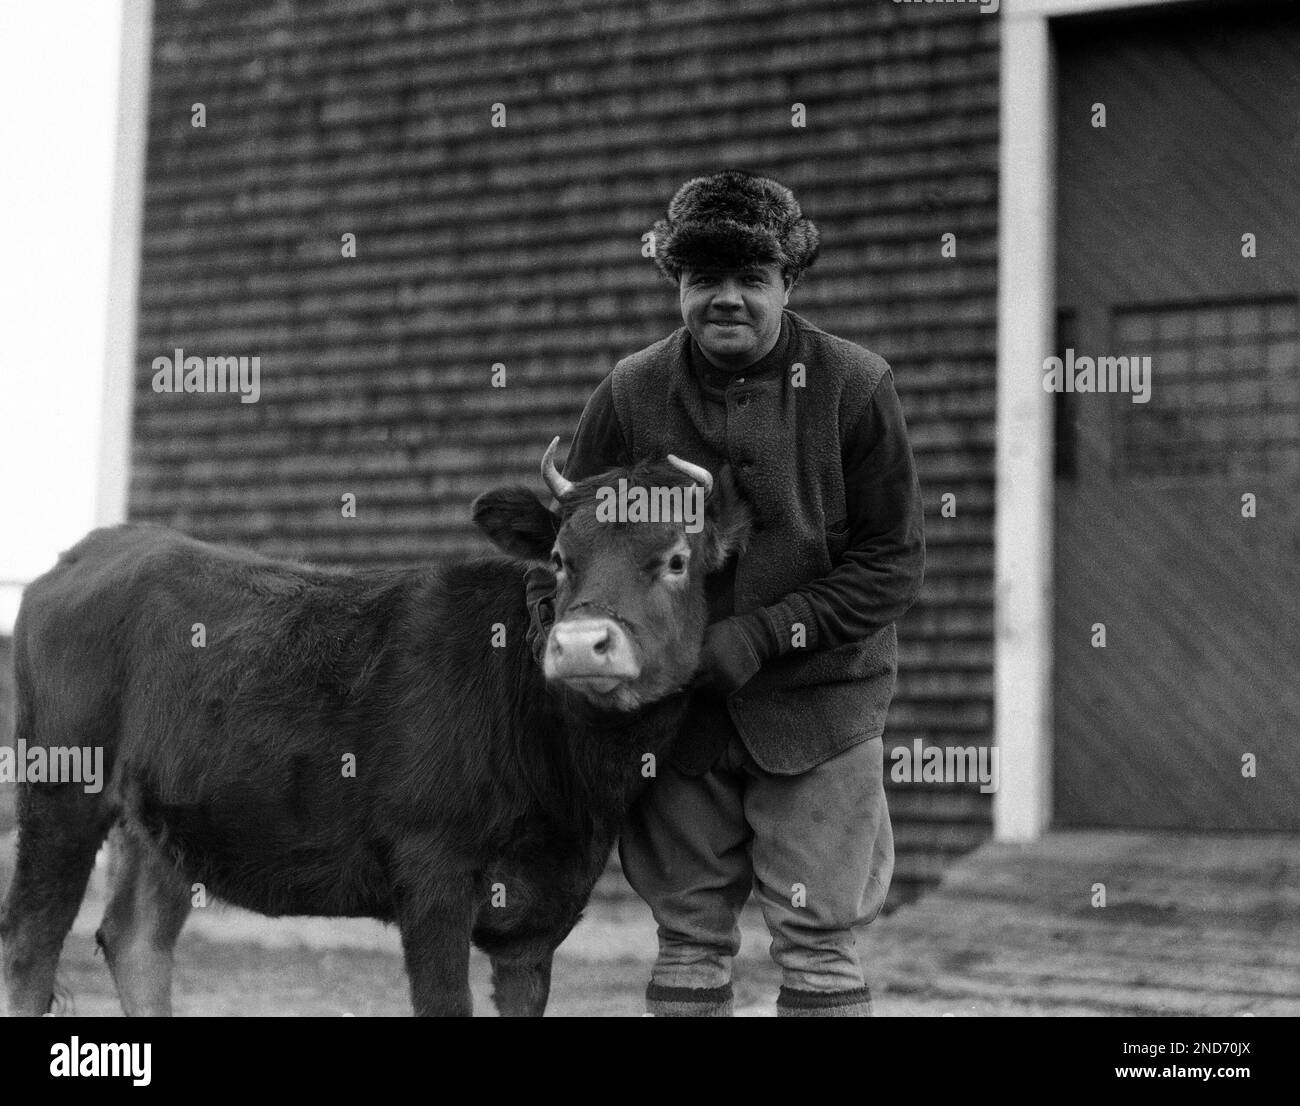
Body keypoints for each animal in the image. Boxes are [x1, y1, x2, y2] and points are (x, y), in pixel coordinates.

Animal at [0, 441, 751, 1017]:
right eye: (563, 559)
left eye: (677, 559)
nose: (578, 644)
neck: (573, 789)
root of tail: (110, 543)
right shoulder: (432, 877)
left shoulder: (542, 915)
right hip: (63, 790)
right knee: (28, 946)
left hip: (168, 816)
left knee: (136, 940)